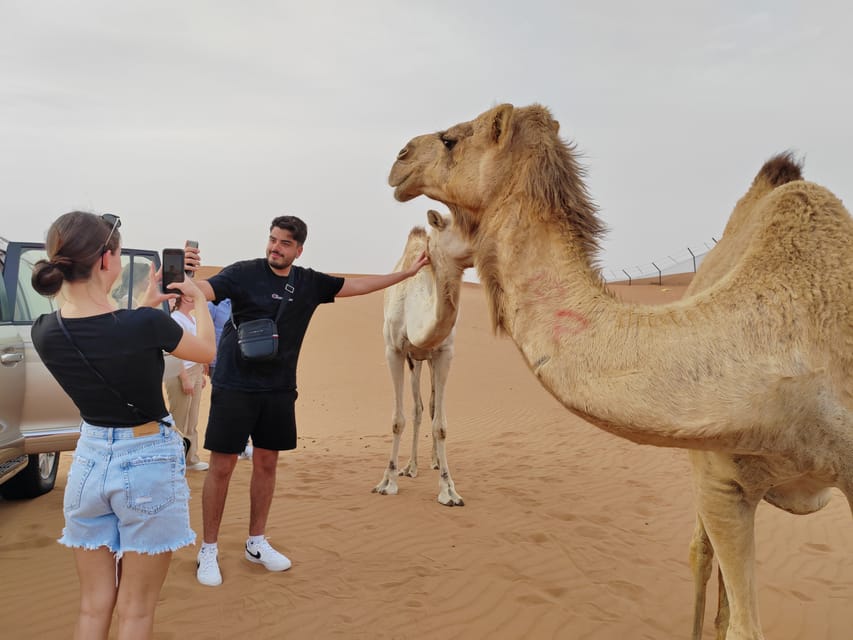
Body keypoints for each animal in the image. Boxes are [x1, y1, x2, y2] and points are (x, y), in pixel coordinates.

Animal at [372, 209, 473, 506]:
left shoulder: (444, 353)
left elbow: (440, 423)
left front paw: (449, 490)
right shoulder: (393, 351)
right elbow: (399, 419)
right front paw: (387, 481)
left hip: (427, 359)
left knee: (428, 407)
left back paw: (435, 462)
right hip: (414, 360)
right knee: (416, 409)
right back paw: (411, 467)